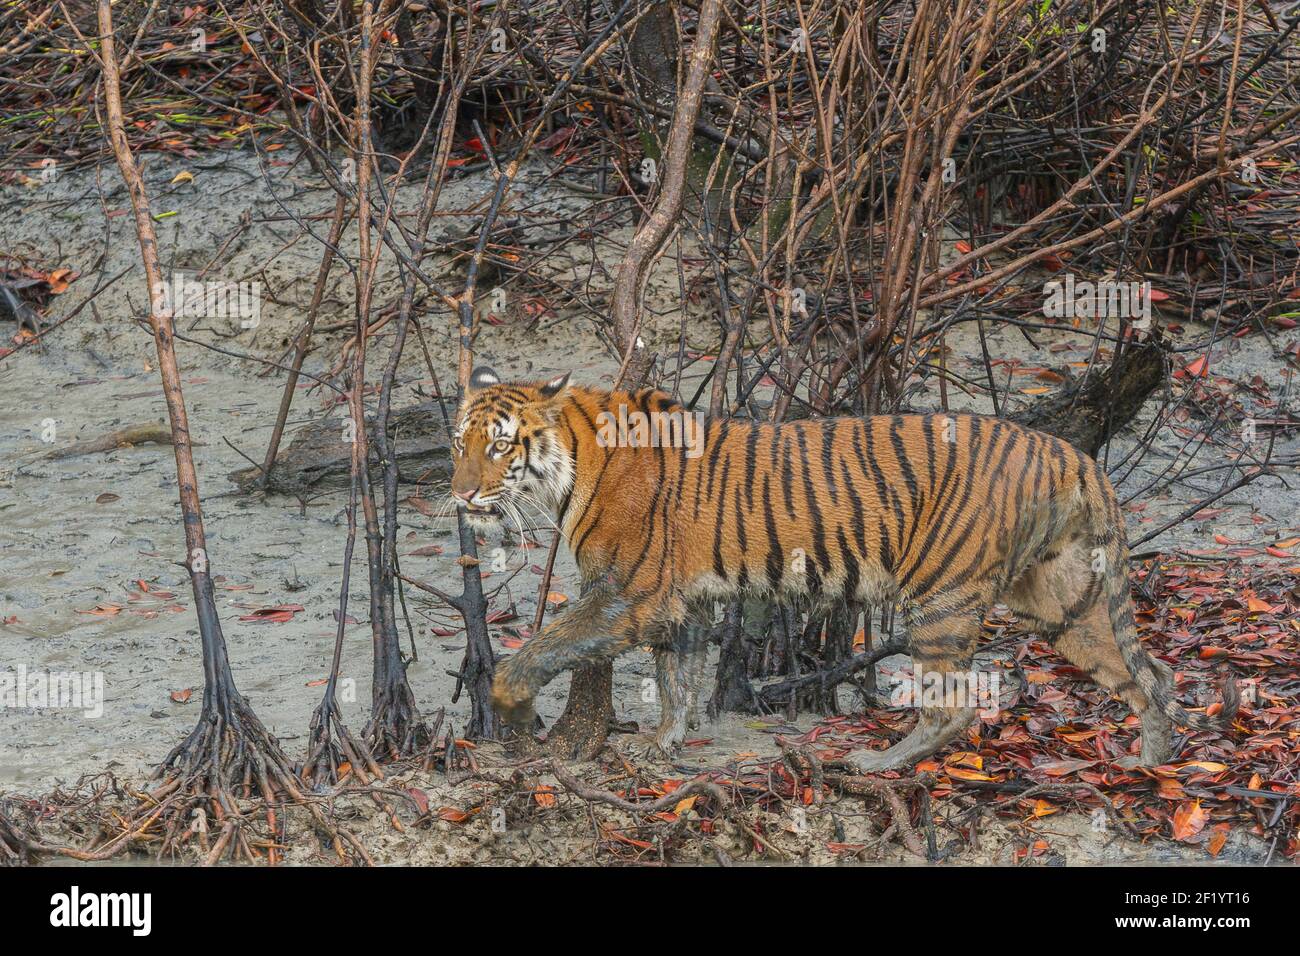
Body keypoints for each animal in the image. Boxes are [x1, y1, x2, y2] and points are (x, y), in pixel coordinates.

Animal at [449, 366, 1238, 771]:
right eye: (458, 443)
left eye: (499, 445)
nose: (459, 494)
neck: (570, 465)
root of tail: (1072, 453)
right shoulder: (684, 601)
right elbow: (679, 675)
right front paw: (663, 742)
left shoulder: (628, 593)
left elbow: (541, 650)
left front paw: (515, 719)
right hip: (1063, 600)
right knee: (1149, 673)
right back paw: (1153, 758)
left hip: (941, 596)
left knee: (954, 705)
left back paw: (879, 764)